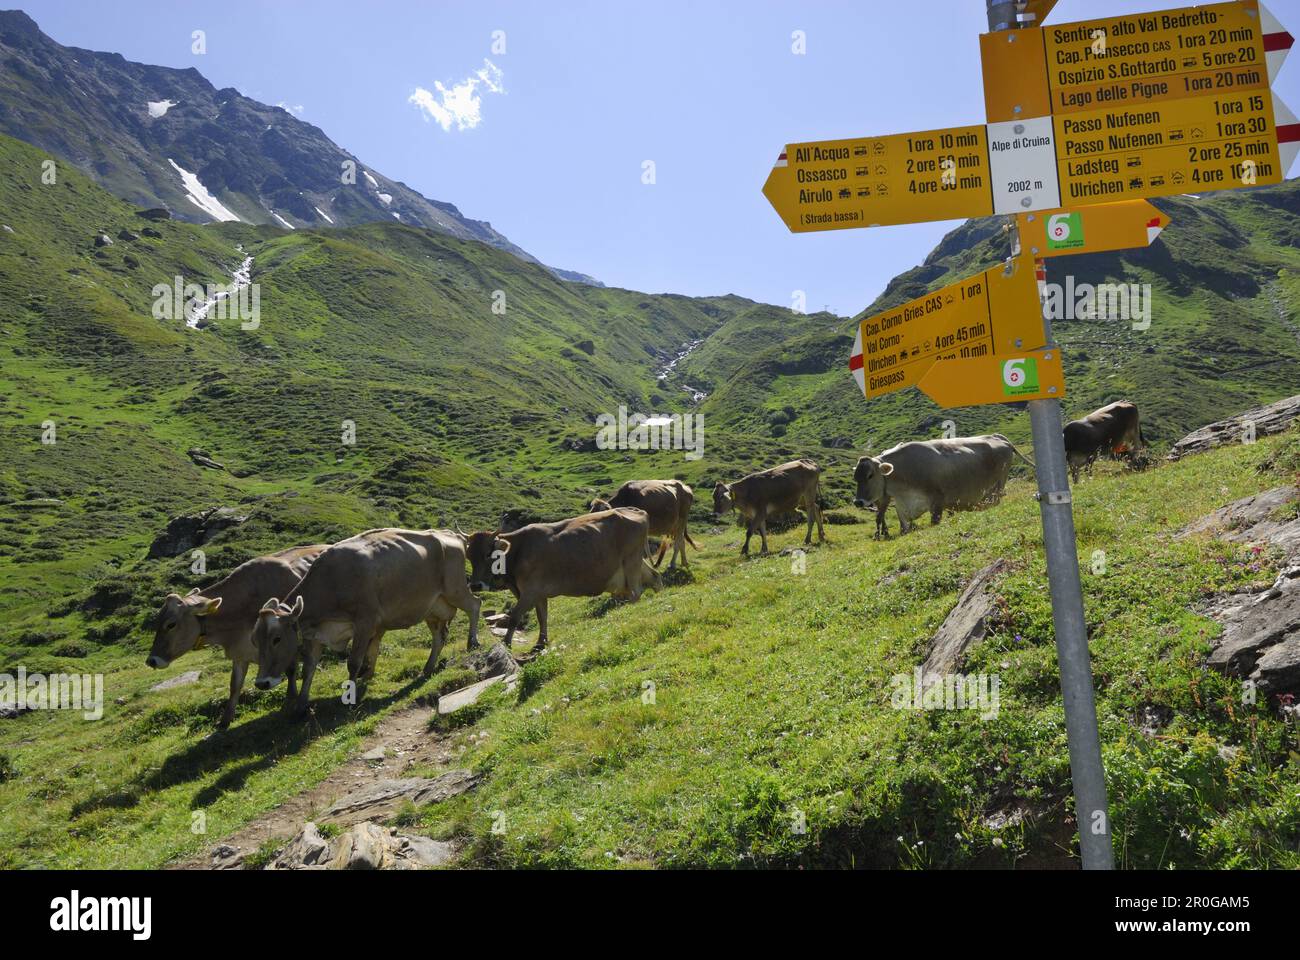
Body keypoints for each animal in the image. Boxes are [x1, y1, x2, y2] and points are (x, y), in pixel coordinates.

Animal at [145, 544, 326, 729]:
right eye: (157, 621)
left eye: (171, 624)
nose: (151, 660)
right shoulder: (240, 651)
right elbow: (235, 684)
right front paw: (225, 720)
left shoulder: (287, 642)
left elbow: (290, 670)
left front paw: (290, 700)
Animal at [251, 529, 480, 716]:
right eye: (254, 641)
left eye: (276, 639)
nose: (262, 683)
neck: (330, 580)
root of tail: (450, 534)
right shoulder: (316, 633)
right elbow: (308, 668)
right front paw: (301, 704)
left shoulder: (365, 622)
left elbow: (354, 662)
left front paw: (350, 697)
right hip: (432, 606)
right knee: (439, 636)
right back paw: (428, 666)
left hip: (455, 589)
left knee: (475, 605)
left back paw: (472, 642)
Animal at [464, 507, 663, 652]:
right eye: (468, 556)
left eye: (489, 554)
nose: (475, 585)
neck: (518, 550)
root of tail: (637, 511)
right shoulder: (538, 593)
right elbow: (542, 617)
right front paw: (541, 642)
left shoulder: (530, 591)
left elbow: (514, 616)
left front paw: (506, 643)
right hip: (635, 562)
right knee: (655, 577)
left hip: (631, 561)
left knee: (636, 591)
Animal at [853, 435, 1034, 537]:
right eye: (855, 478)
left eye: (870, 475)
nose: (858, 502)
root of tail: (998, 438)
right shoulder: (901, 507)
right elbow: (903, 528)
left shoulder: (937, 502)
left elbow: (935, 521)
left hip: (997, 487)